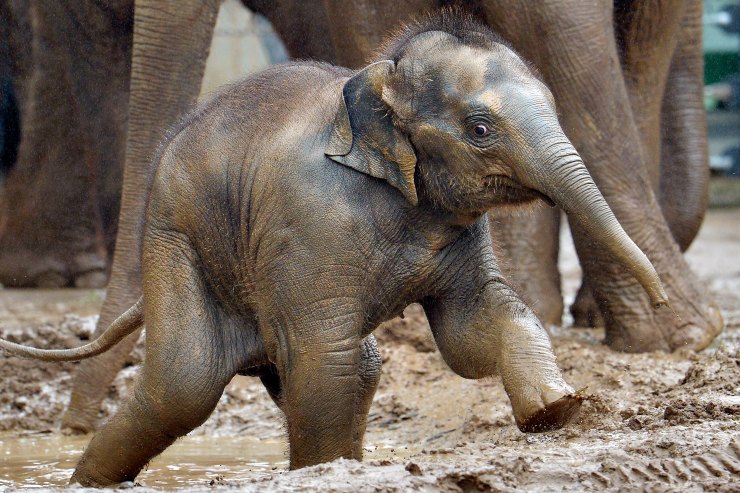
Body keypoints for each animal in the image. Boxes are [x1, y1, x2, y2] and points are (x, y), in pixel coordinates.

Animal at [0, 10, 668, 484]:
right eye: (480, 129)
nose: (660, 299)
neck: (375, 80)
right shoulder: (313, 215)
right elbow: (329, 357)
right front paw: (326, 474)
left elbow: (471, 329)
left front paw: (555, 411)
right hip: (173, 239)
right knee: (184, 386)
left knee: (324, 368)